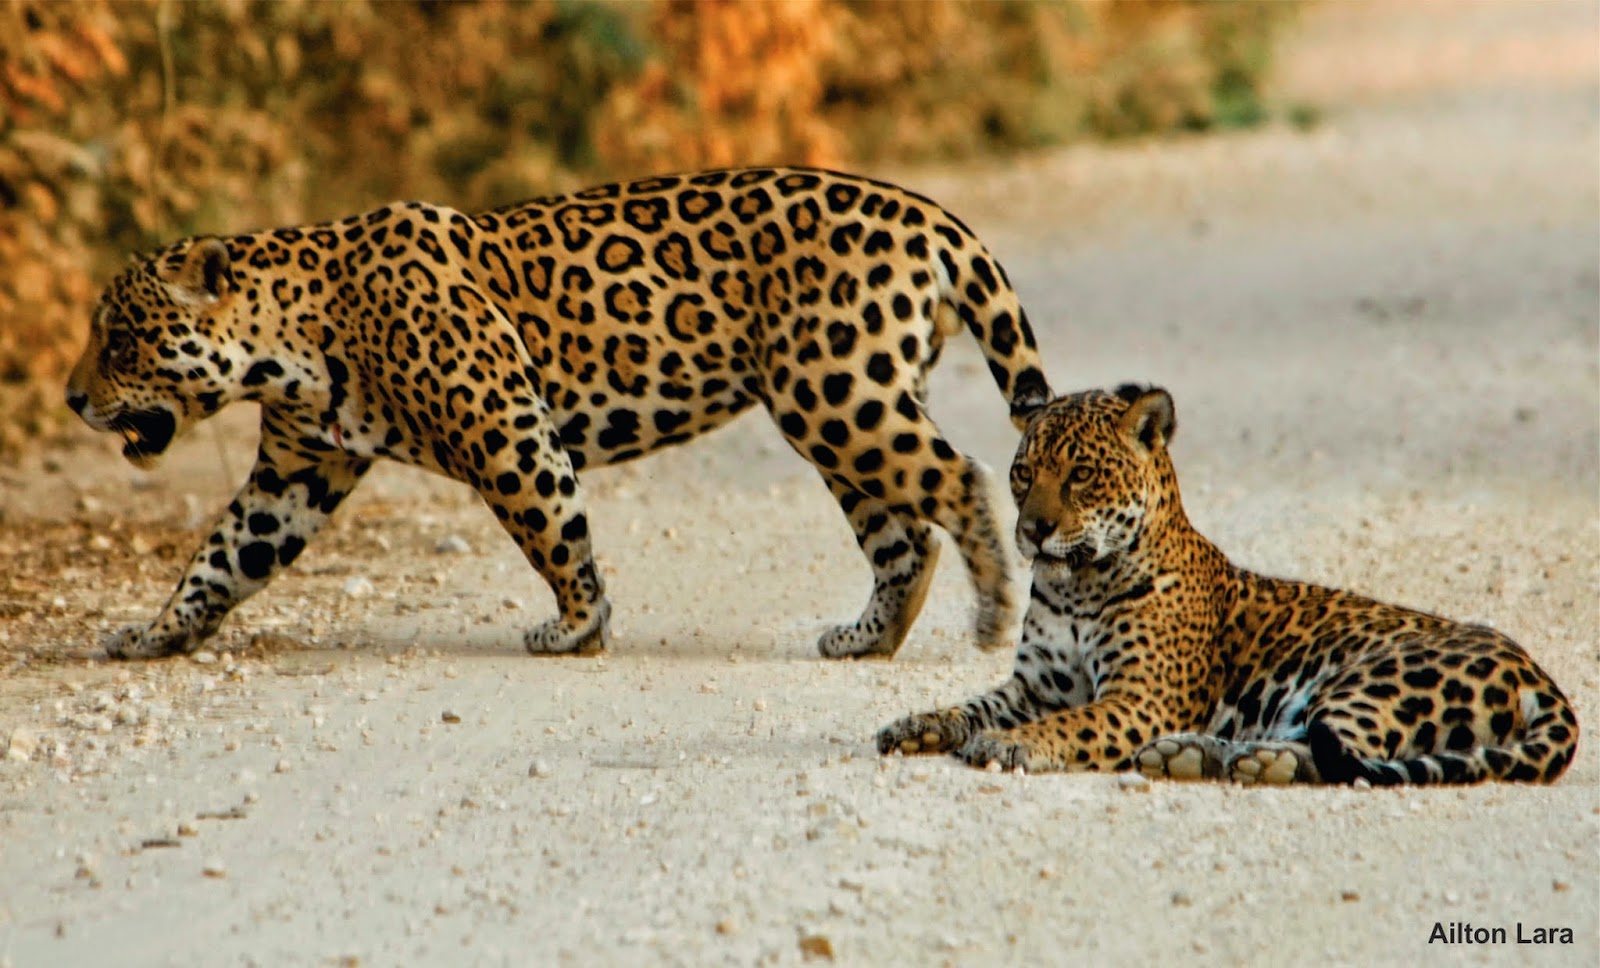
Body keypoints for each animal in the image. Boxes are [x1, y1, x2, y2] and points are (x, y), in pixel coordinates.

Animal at [65, 166, 1053, 662]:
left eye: (120, 339)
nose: (73, 399)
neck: (292, 341)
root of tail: (928, 213)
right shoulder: (297, 471)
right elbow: (222, 557)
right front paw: (152, 635)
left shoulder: (501, 424)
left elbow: (550, 527)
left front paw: (578, 626)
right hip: (840, 408)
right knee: (904, 536)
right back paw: (867, 638)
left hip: (836, 393)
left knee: (958, 479)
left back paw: (993, 614)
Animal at [877, 385, 1578, 785]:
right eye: (1023, 474)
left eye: (1081, 475)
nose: (1033, 530)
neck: (1078, 586)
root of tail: (1538, 676)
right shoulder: (1034, 687)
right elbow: (972, 705)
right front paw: (921, 725)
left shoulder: (1139, 699)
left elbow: (1074, 724)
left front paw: (1012, 744)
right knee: (1320, 749)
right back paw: (1204, 757)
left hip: (1372, 681)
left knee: (1344, 757)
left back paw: (1223, 760)